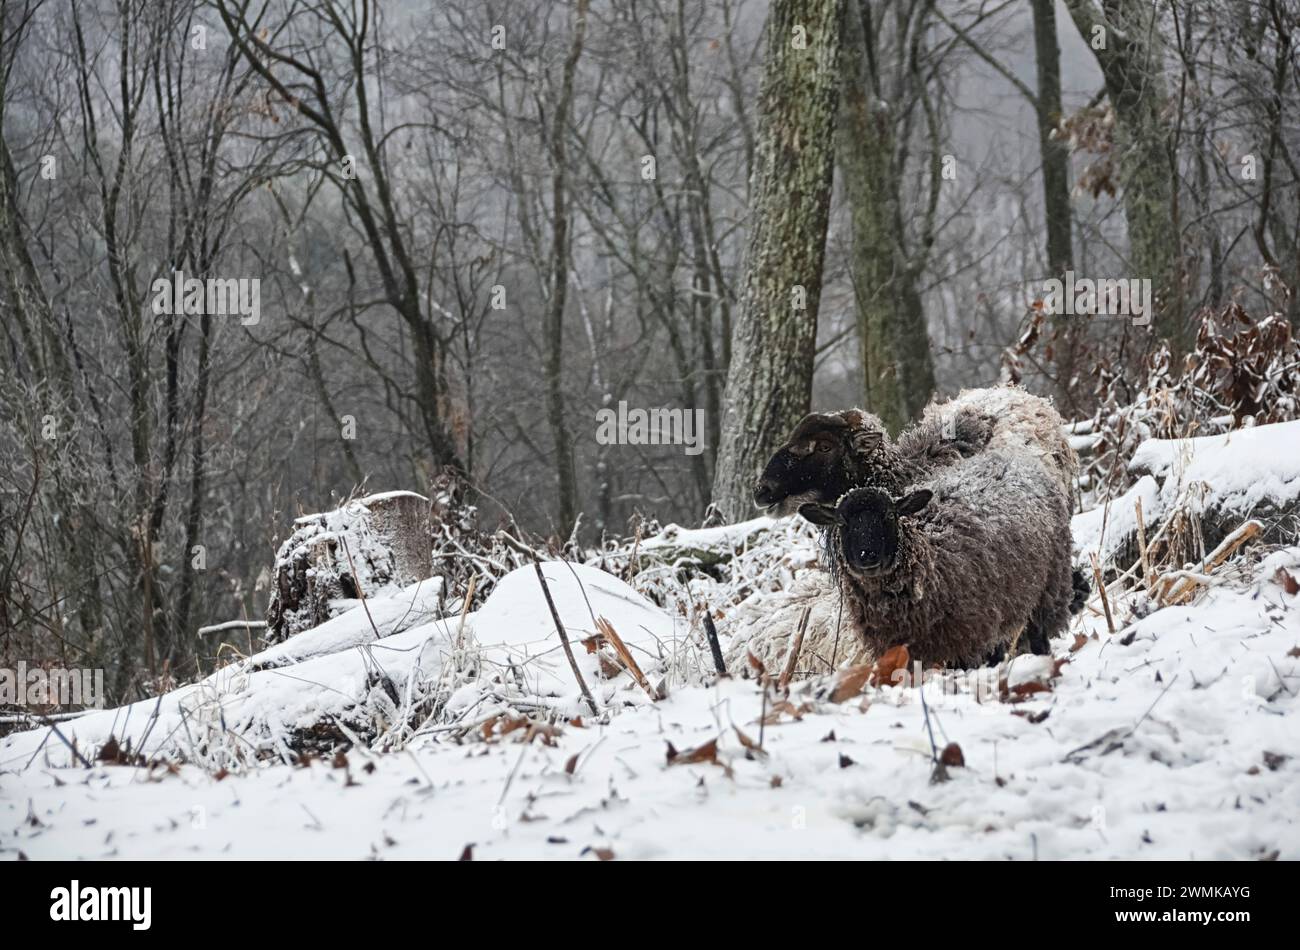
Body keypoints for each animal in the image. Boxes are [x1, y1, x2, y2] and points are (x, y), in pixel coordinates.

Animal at [798, 446, 1076, 667]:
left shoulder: (964, 641)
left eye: (890, 515)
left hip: (1049, 588)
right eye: (842, 522)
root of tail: (1013, 455)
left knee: (1039, 637)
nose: (868, 556)